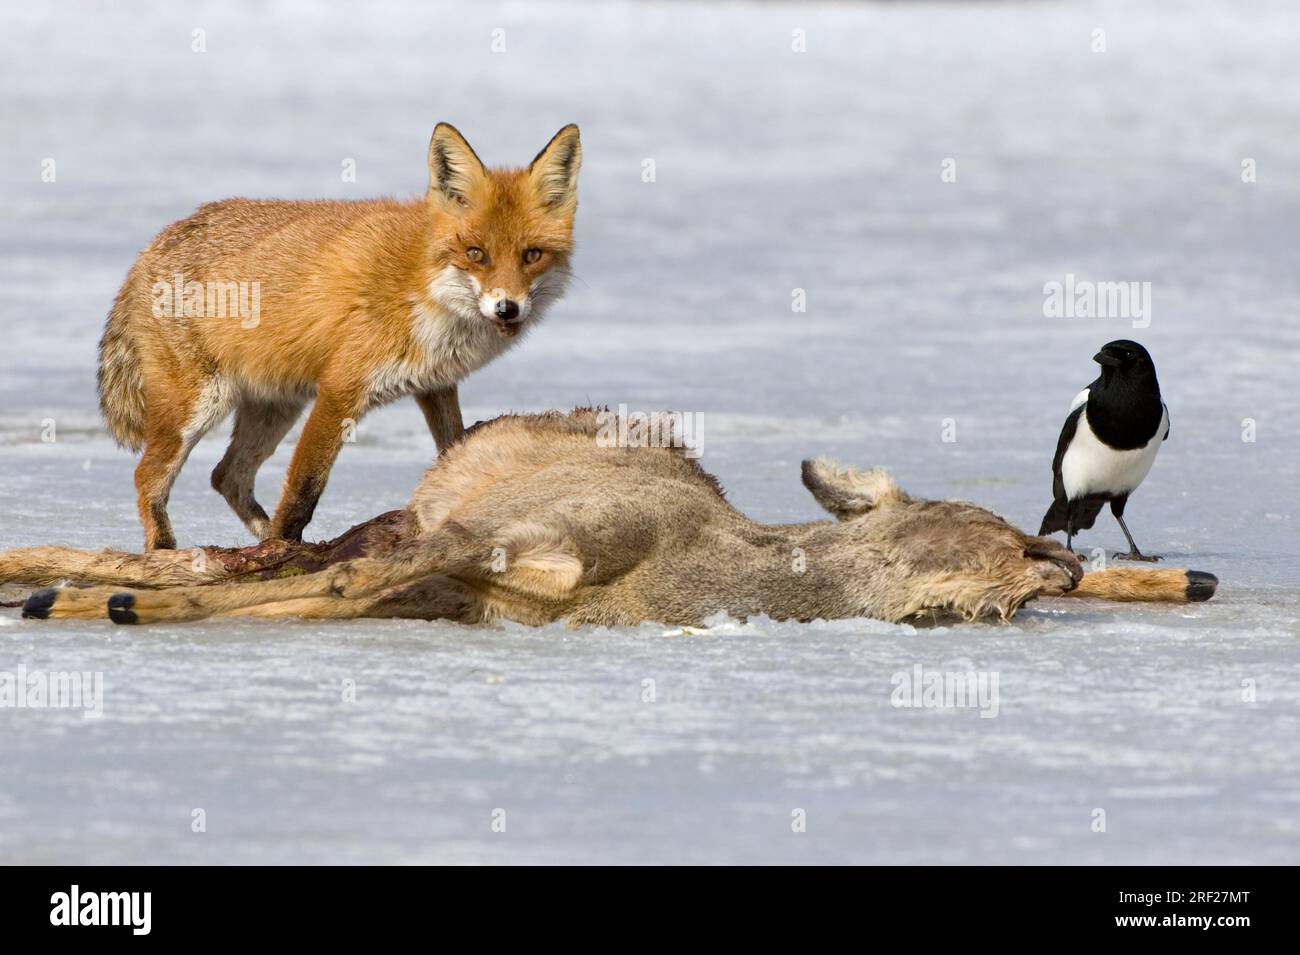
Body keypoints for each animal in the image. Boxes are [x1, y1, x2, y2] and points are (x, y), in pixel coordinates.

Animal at [97, 123, 581, 550]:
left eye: (532, 255)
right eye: (476, 254)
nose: (507, 308)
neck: (424, 287)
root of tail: (154, 244)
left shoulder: (436, 384)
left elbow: (453, 451)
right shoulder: (340, 390)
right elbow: (303, 489)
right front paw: (284, 555)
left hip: (276, 405)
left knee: (227, 475)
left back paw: (258, 536)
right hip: (198, 407)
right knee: (148, 475)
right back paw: (167, 548)